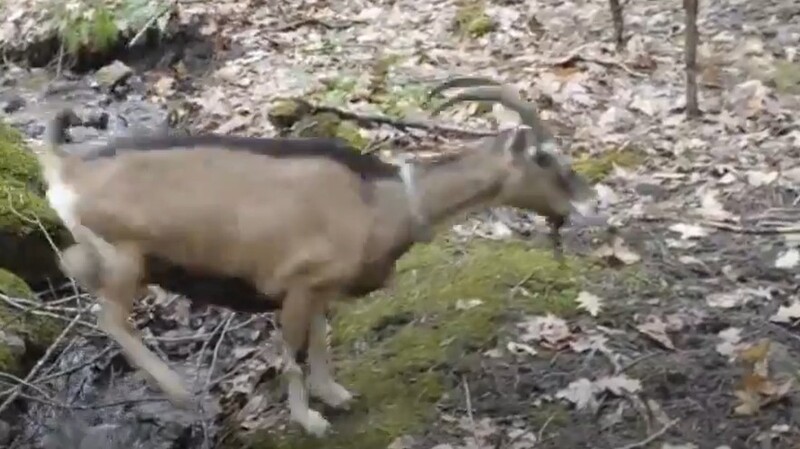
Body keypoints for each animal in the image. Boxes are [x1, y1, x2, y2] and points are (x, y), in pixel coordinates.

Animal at [35, 77, 594, 437]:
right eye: (545, 157)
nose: (585, 202)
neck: (381, 199)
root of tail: (64, 167)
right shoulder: (297, 285)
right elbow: (292, 355)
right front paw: (310, 420)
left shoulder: (323, 286)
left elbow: (322, 340)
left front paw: (335, 394)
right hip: (126, 257)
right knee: (109, 316)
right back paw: (178, 392)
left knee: (72, 270)